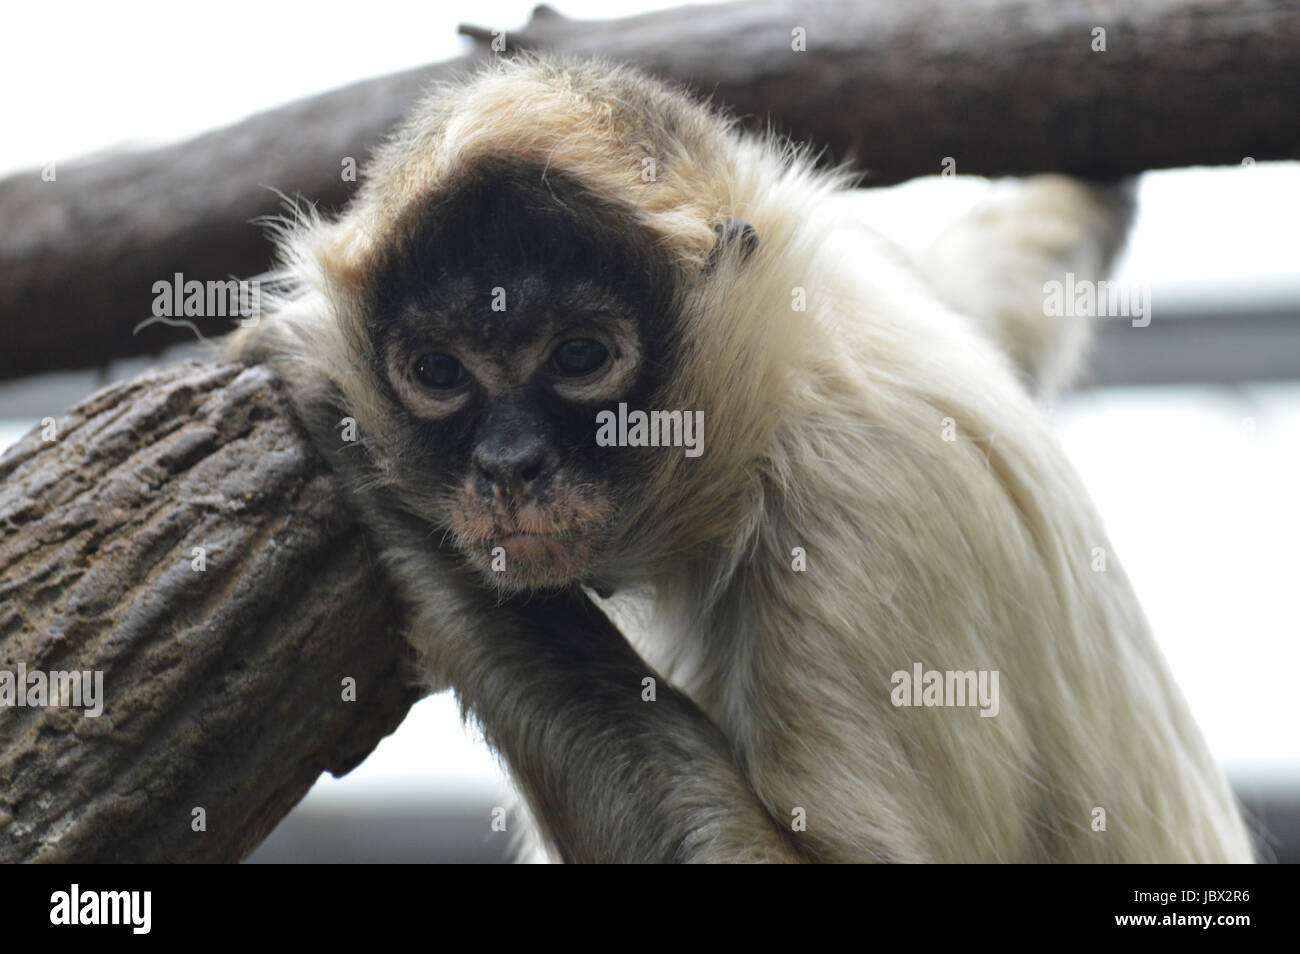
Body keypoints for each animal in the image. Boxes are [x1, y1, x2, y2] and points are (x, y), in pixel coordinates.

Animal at [228, 55, 1255, 863]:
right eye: (439, 372)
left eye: (579, 358)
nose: (508, 465)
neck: (783, 398)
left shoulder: (857, 512)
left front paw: (381, 483)